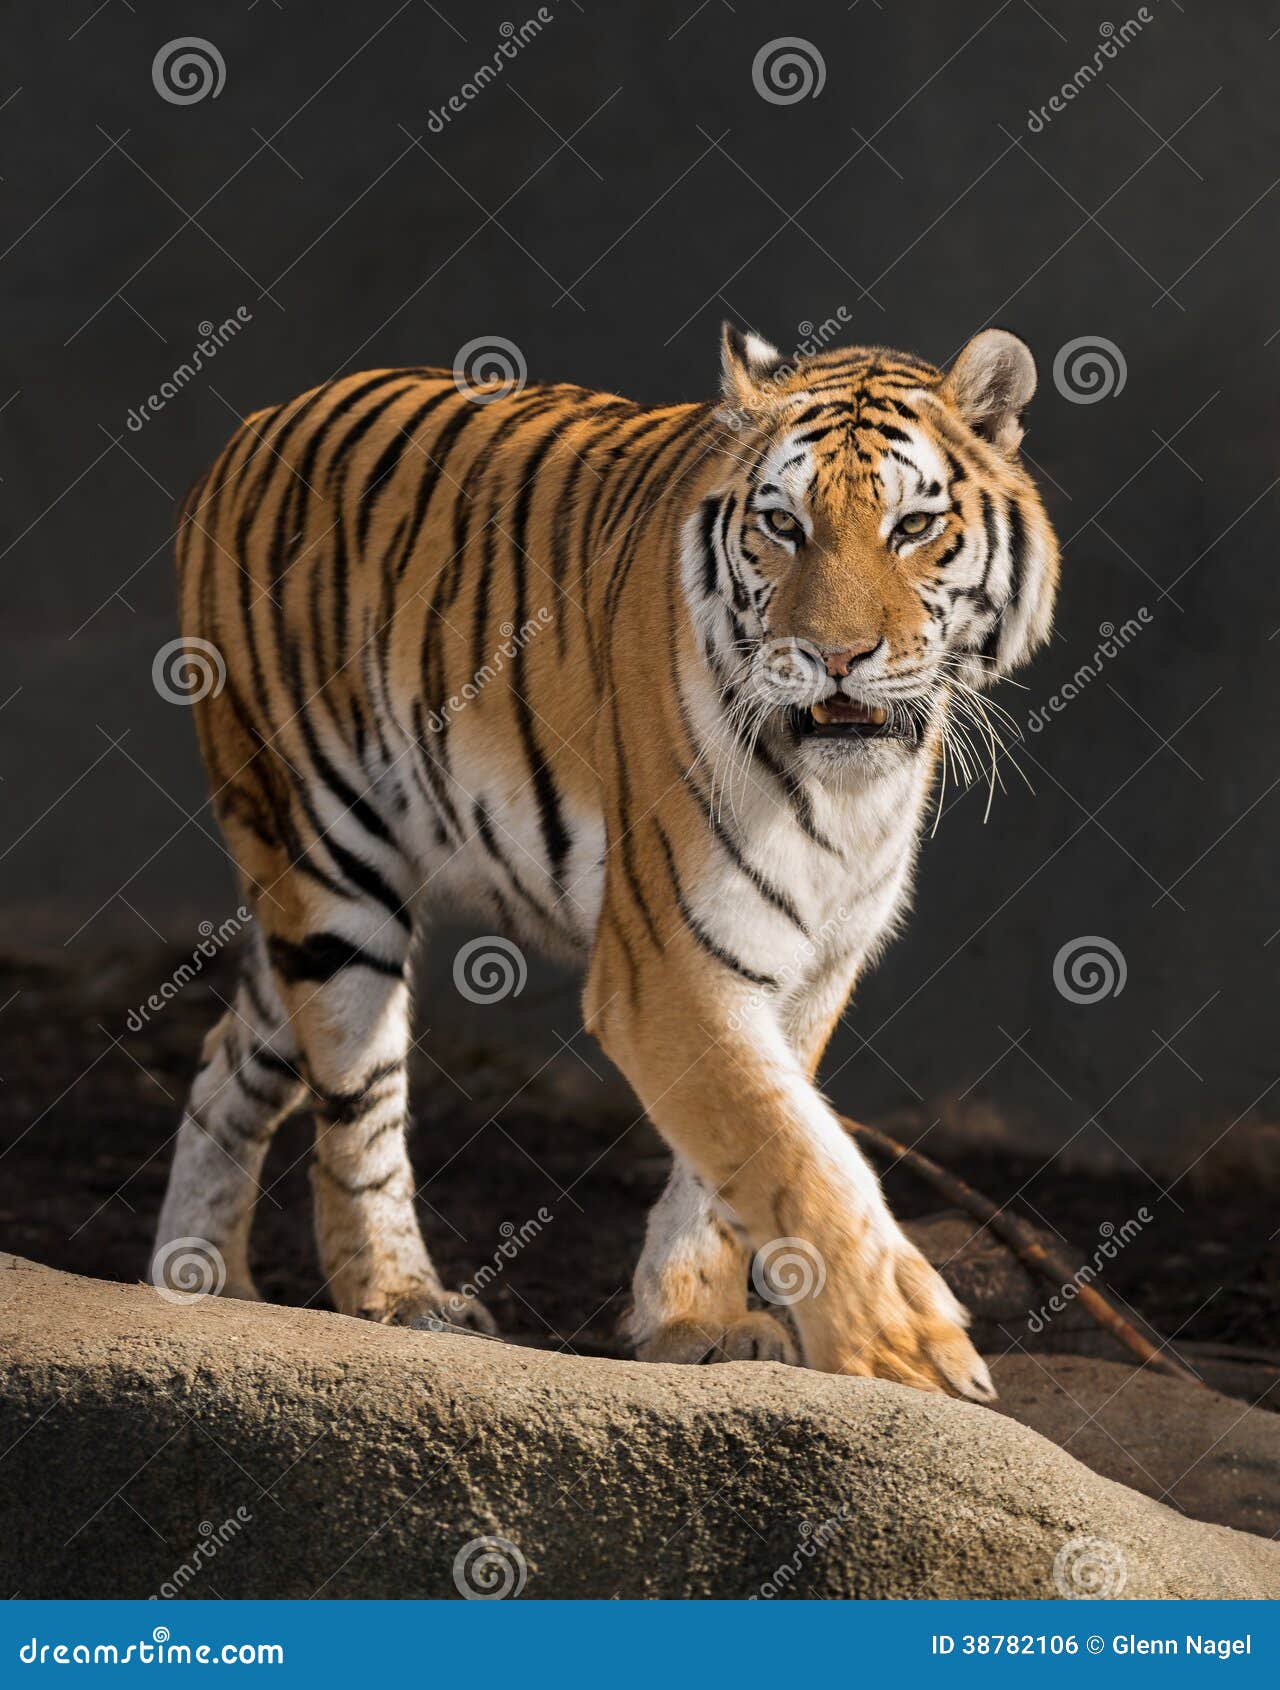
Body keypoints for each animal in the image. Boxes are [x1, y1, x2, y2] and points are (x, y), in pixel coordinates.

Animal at [151, 322, 1059, 1399]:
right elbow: (790, 1151)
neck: (850, 792)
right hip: (329, 863)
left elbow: (734, 1156)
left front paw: (693, 1322)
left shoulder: (809, 967)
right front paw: (902, 1351)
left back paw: (199, 1284)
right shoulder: (668, 962)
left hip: (294, 900)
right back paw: (399, 1297)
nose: (833, 658)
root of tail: (253, 425)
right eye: (782, 525)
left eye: (913, 526)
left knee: (229, 1057)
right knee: (356, 1111)